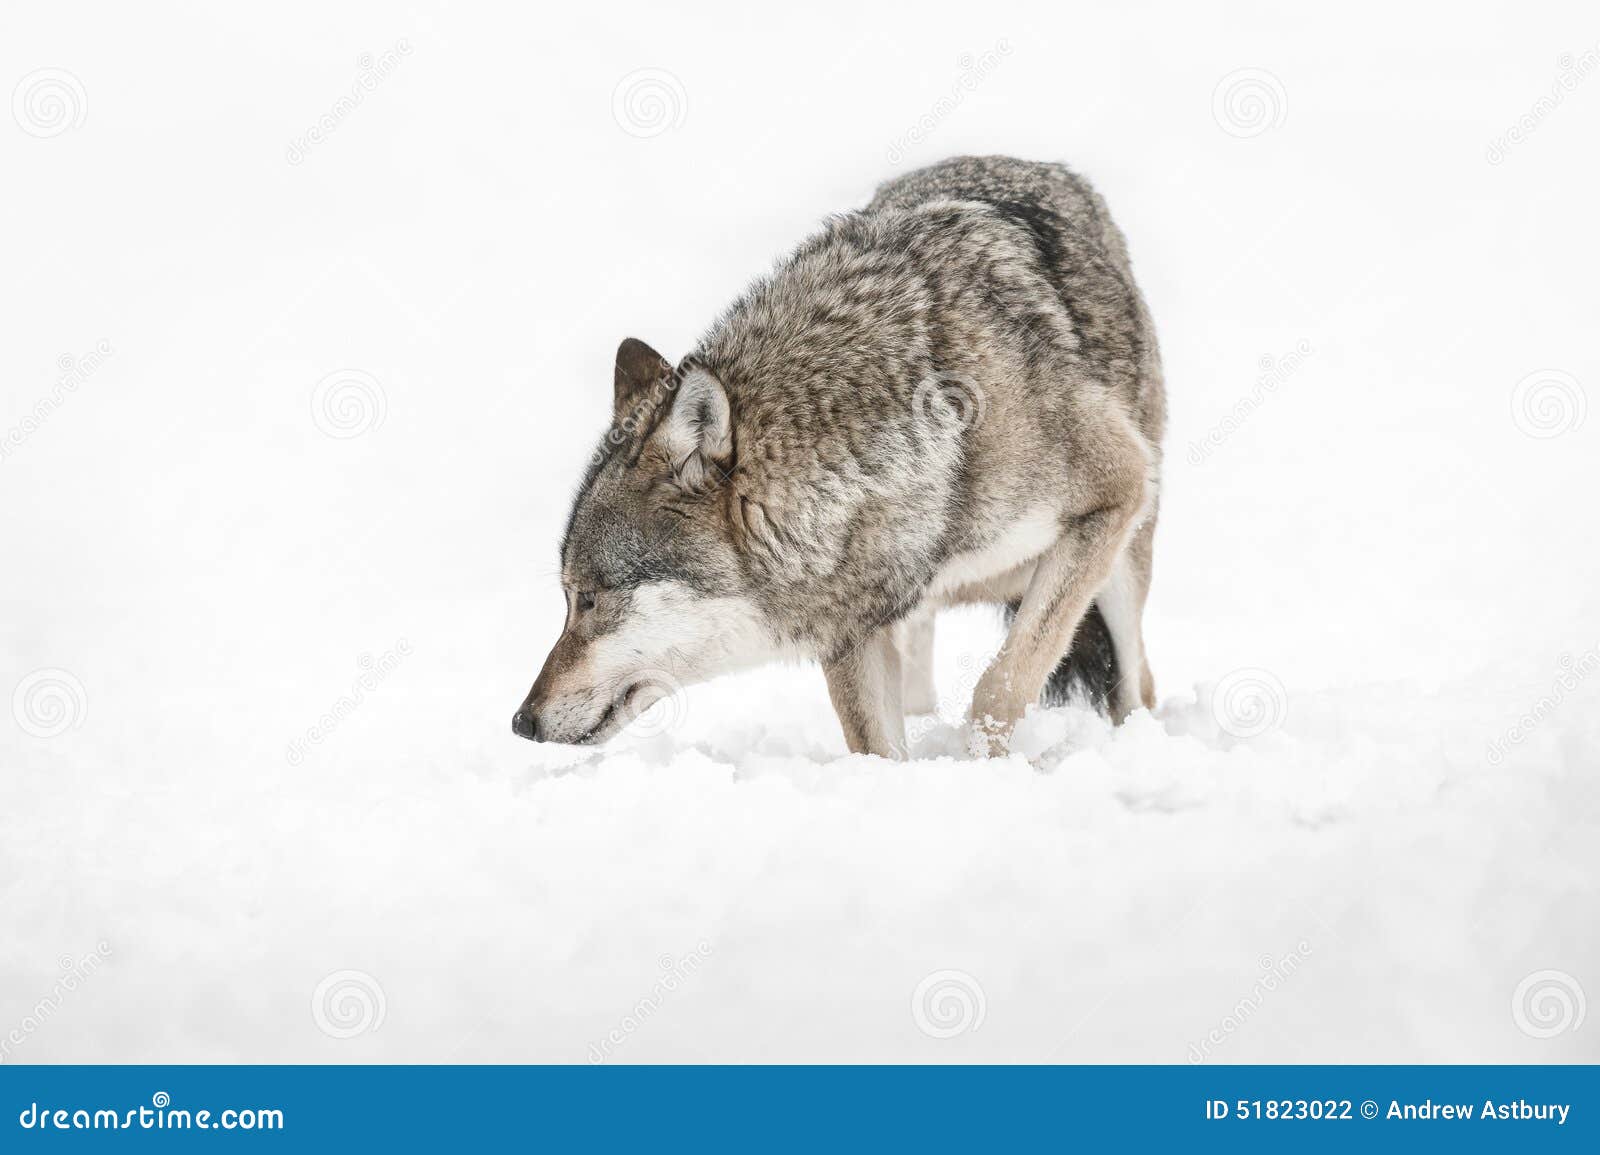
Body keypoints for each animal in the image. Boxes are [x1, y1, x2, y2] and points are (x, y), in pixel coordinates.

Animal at [512, 155, 1165, 758]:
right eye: (569, 599)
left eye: (589, 599)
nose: (522, 721)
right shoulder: (854, 625)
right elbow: (877, 746)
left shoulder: (1114, 491)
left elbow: (999, 685)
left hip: (1124, 558)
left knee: (1138, 686)